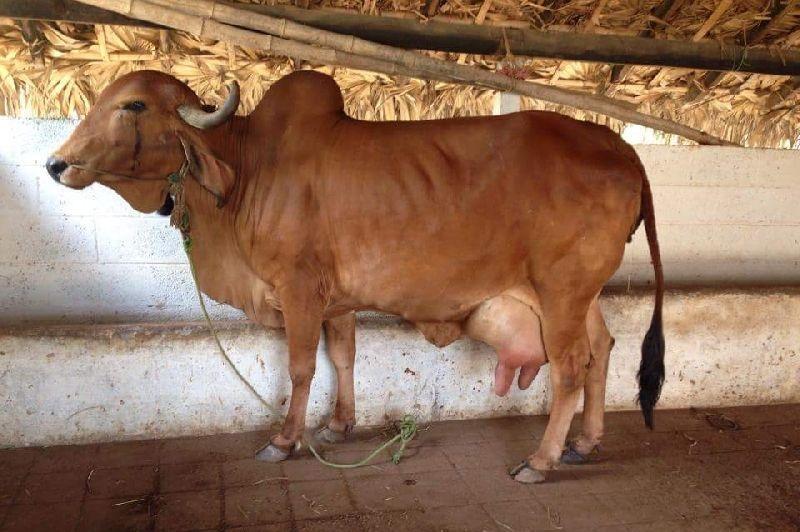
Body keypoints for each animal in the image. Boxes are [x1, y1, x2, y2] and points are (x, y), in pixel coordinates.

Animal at [46, 69, 665, 483]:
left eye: (133, 105)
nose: (57, 164)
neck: (247, 169)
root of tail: (618, 145)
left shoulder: (298, 288)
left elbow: (300, 367)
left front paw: (285, 439)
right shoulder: (335, 300)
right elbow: (342, 357)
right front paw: (338, 426)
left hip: (561, 290)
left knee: (570, 367)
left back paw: (542, 459)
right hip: (582, 294)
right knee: (604, 348)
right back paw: (586, 443)